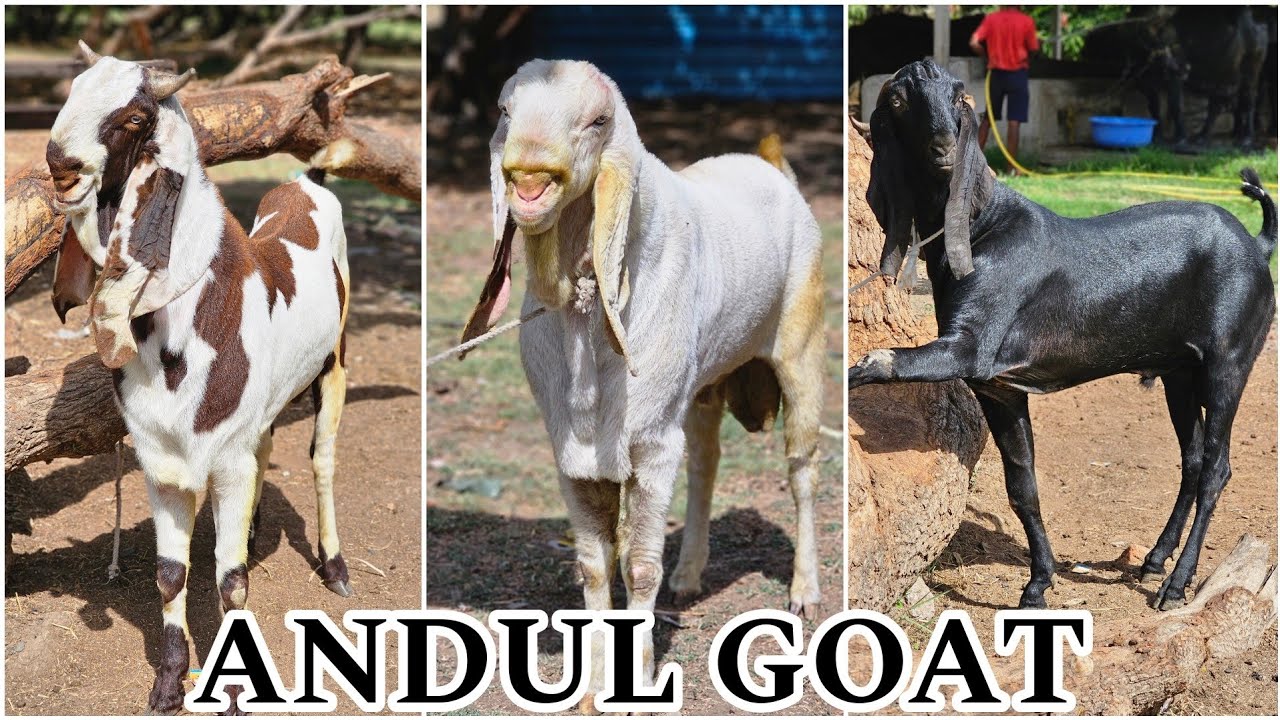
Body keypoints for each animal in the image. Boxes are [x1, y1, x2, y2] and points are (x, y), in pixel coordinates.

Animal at [46, 42, 352, 713]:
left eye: (134, 117)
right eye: (72, 90)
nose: (59, 163)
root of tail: (307, 184)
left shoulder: (227, 462)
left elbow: (230, 582)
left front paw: (236, 692)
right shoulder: (160, 464)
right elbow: (170, 575)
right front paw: (168, 684)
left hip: (336, 365)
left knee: (321, 460)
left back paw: (337, 568)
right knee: (268, 448)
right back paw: (259, 528)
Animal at [460, 59, 825, 698]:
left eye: (598, 121)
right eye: (506, 111)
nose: (529, 180)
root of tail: (771, 164)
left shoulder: (651, 443)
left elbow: (638, 563)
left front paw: (643, 675)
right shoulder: (572, 451)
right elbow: (593, 564)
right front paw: (595, 677)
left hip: (801, 353)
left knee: (802, 471)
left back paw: (804, 592)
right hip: (700, 389)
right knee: (705, 463)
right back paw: (690, 573)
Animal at [849, 60, 1275, 611]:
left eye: (959, 97)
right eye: (899, 100)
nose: (943, 148)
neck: (984, 229)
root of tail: (1258, 245)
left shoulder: (970, 350)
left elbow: (882, 359)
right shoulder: (1000, 389)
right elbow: (1022, 486)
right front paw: (1038, 582)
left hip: (1229, 362)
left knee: (1217, 469)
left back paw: (1176, 583)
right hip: (1180, 372)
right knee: (1195, 459)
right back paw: (1155, 558)